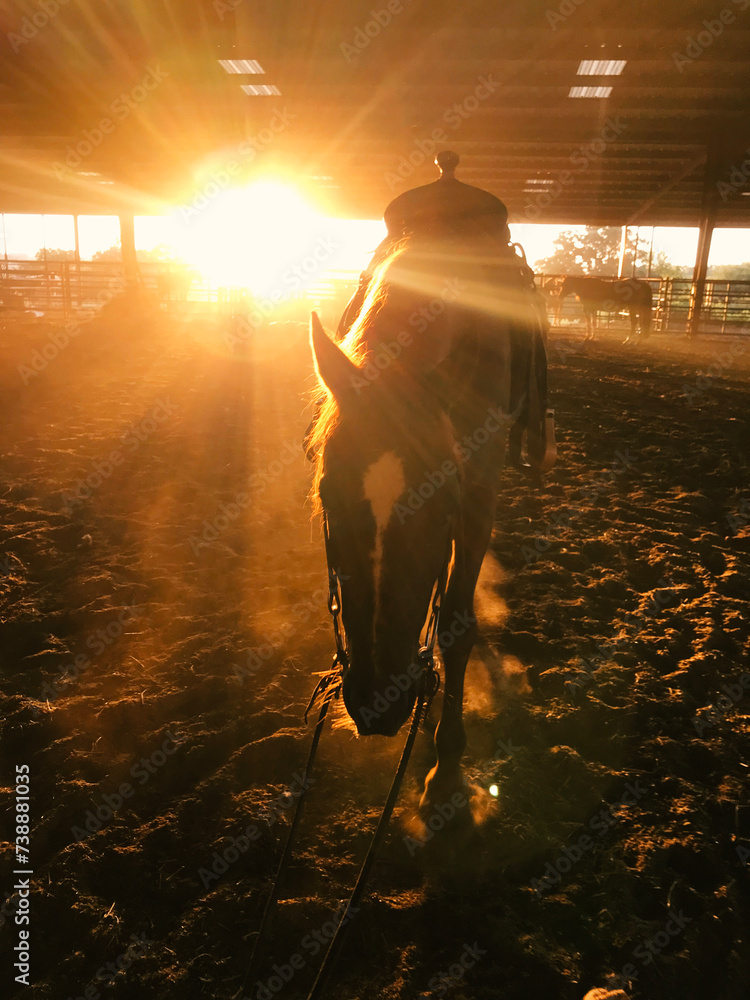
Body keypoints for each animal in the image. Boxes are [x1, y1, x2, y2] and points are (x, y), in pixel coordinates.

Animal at [307, 236, 552, 815]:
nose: (377, 705)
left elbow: (456, 626)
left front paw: (446, 767)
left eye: (444, 503)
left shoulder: (478, 497)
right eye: (326, 492)